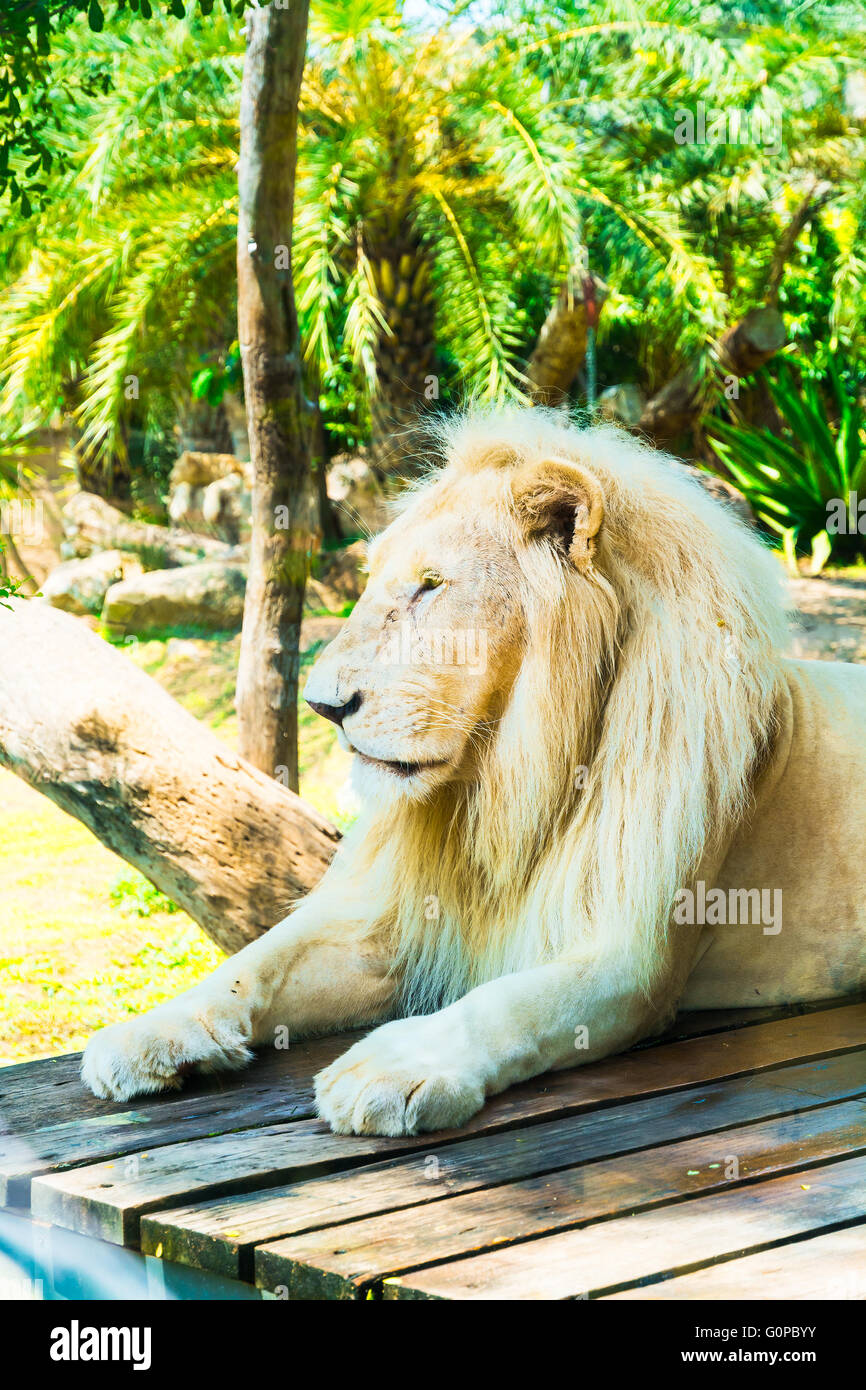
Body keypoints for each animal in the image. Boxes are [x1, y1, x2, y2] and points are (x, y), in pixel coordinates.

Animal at [82, 408, 866, 1135]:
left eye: (432, 585)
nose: (323, 706)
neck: (503, 784)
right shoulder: (394, 924)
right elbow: (260, 960)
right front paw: (148, 1033)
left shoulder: (633, 960)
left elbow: (507, 1003)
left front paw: (394, 1064)